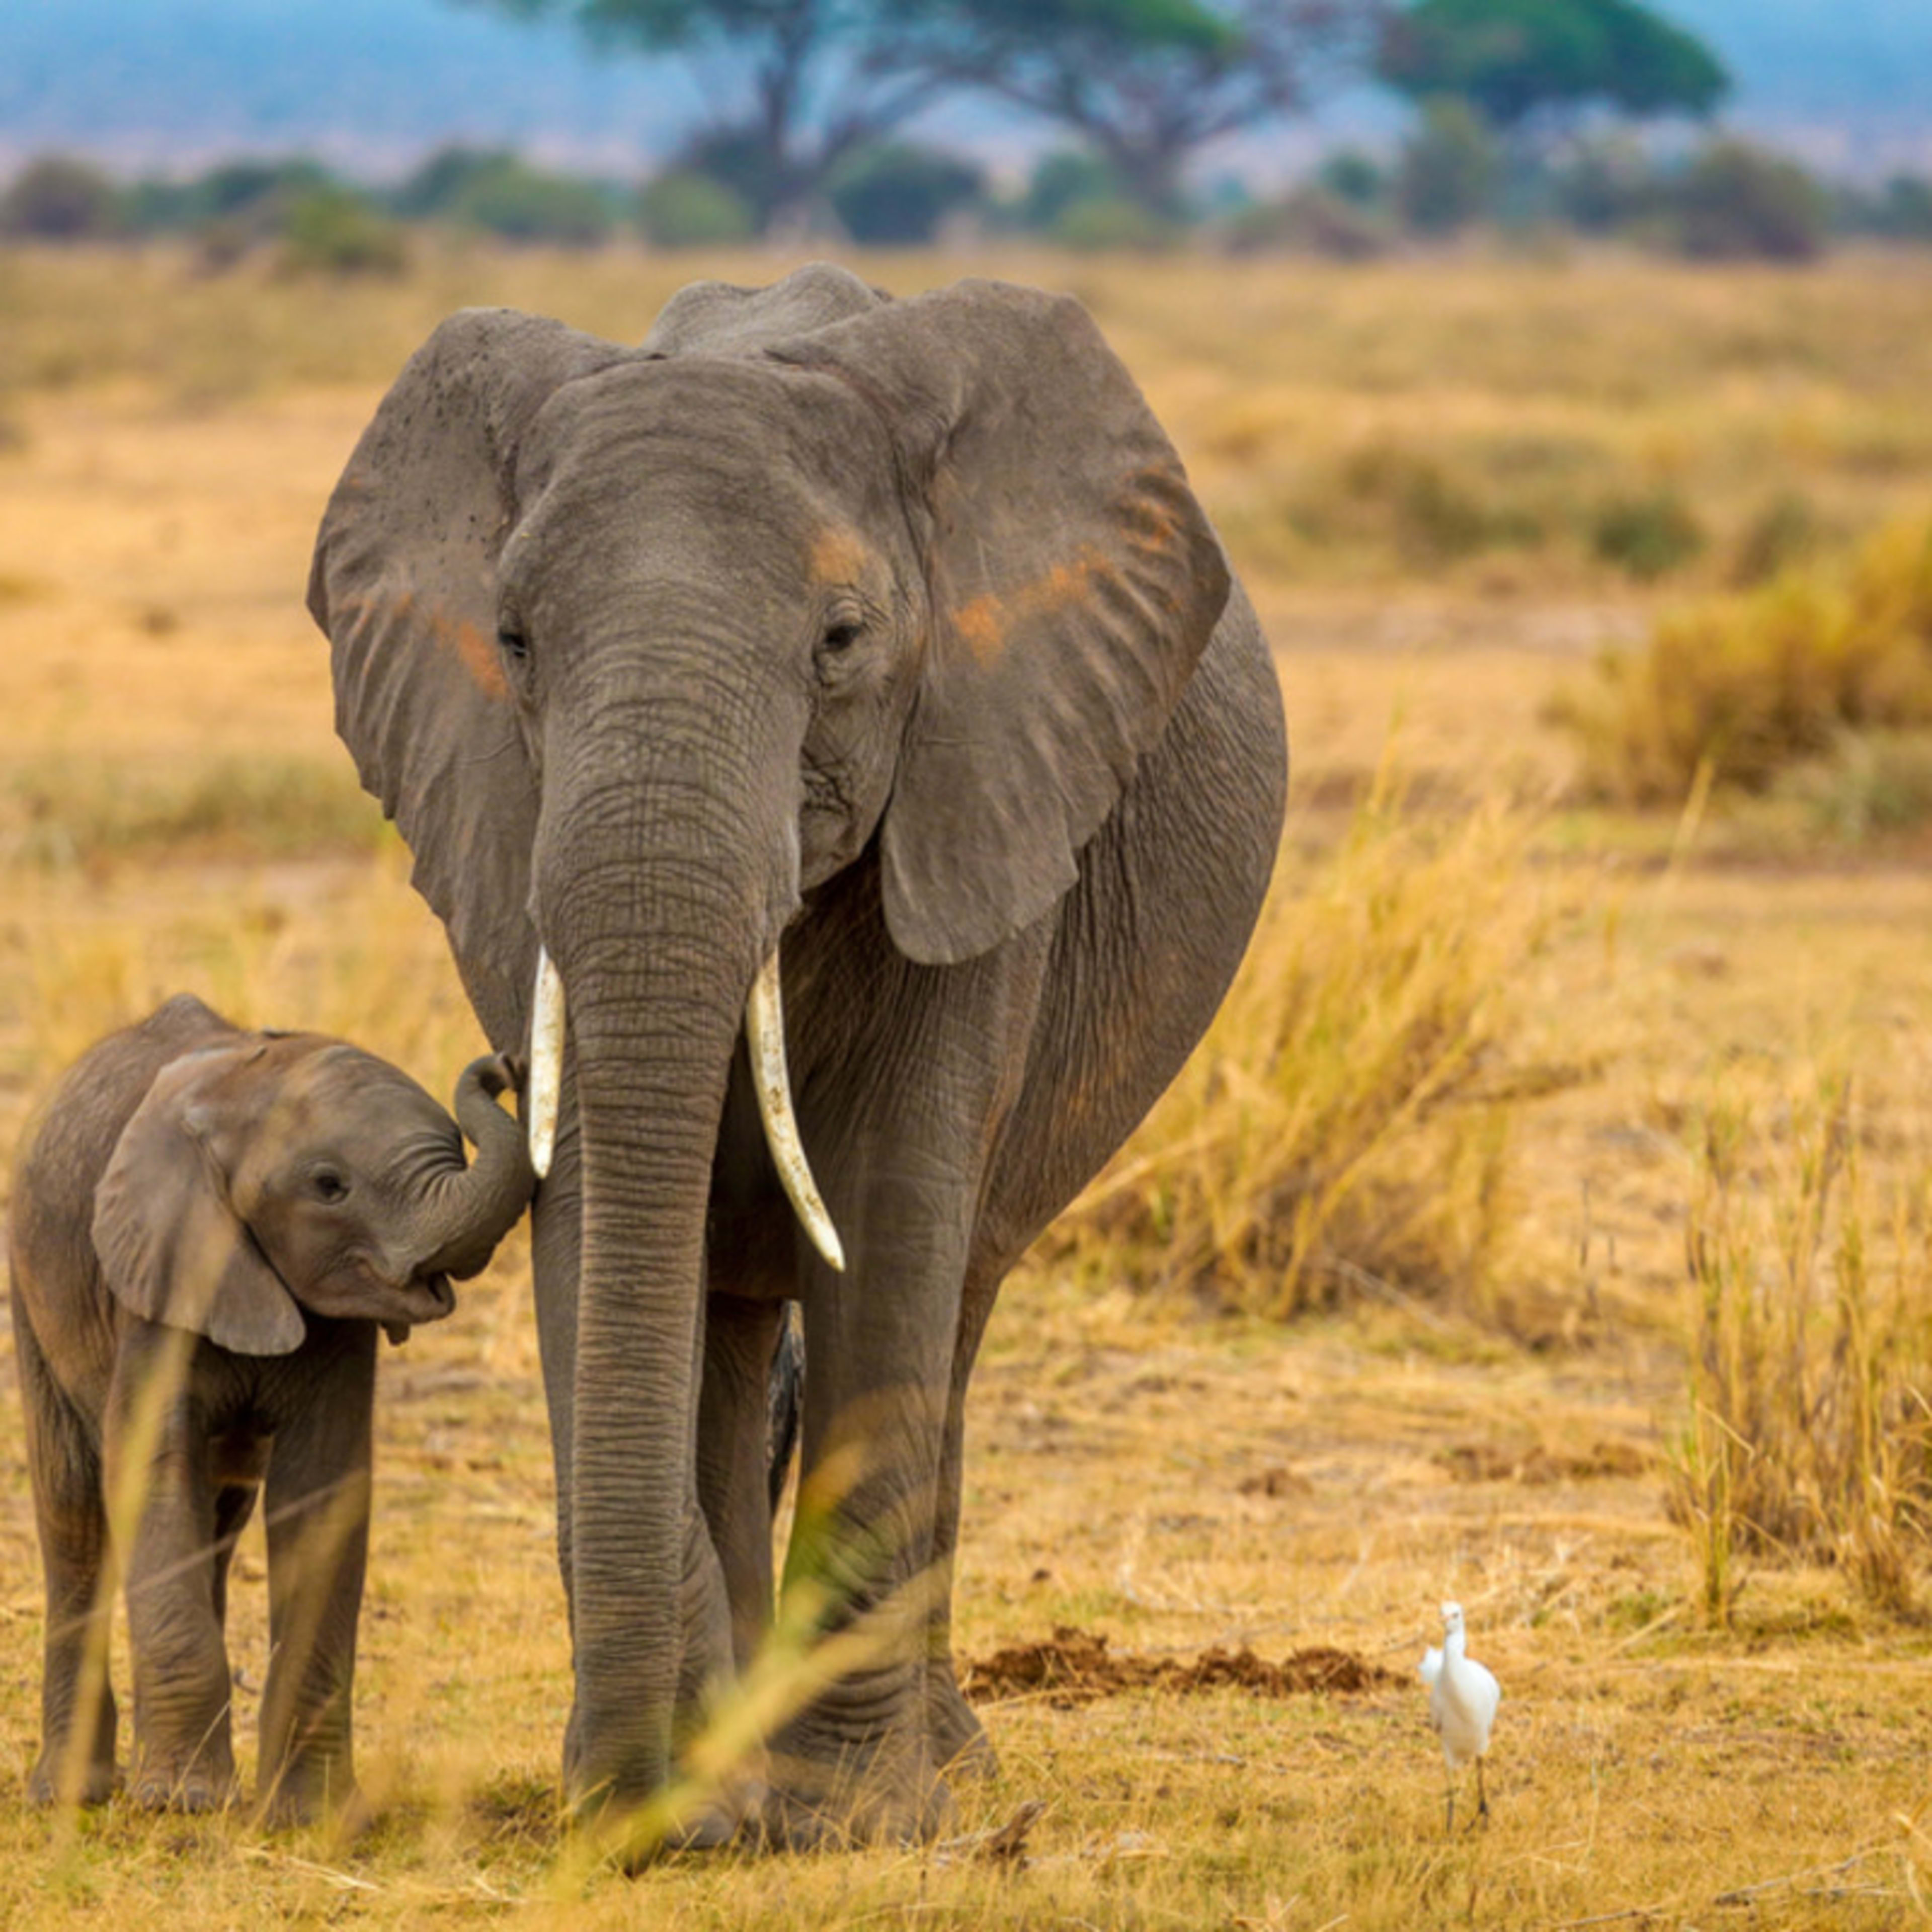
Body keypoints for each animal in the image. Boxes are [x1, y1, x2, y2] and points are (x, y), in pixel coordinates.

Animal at [7, 994, 534, 1821]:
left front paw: (308, 1815)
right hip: (33, 1288)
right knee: (75, 1516)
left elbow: (322, 1492)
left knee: (216, 1521)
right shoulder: (160, 1276)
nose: (503, 1065)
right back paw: (73, 1796)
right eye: (328, 1186)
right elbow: (150, 1469)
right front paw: (182, 1805)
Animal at [307, 263, 1287, 1844]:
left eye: (840, 642)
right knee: (727, 1310)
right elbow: (600, 1219)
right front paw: (706, 1797)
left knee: (949, 1308)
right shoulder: (498, 812)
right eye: (511, 640)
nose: (488, 1082)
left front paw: (857, 1819)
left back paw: (942, 1770)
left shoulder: (981, 789)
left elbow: (888, 1218)